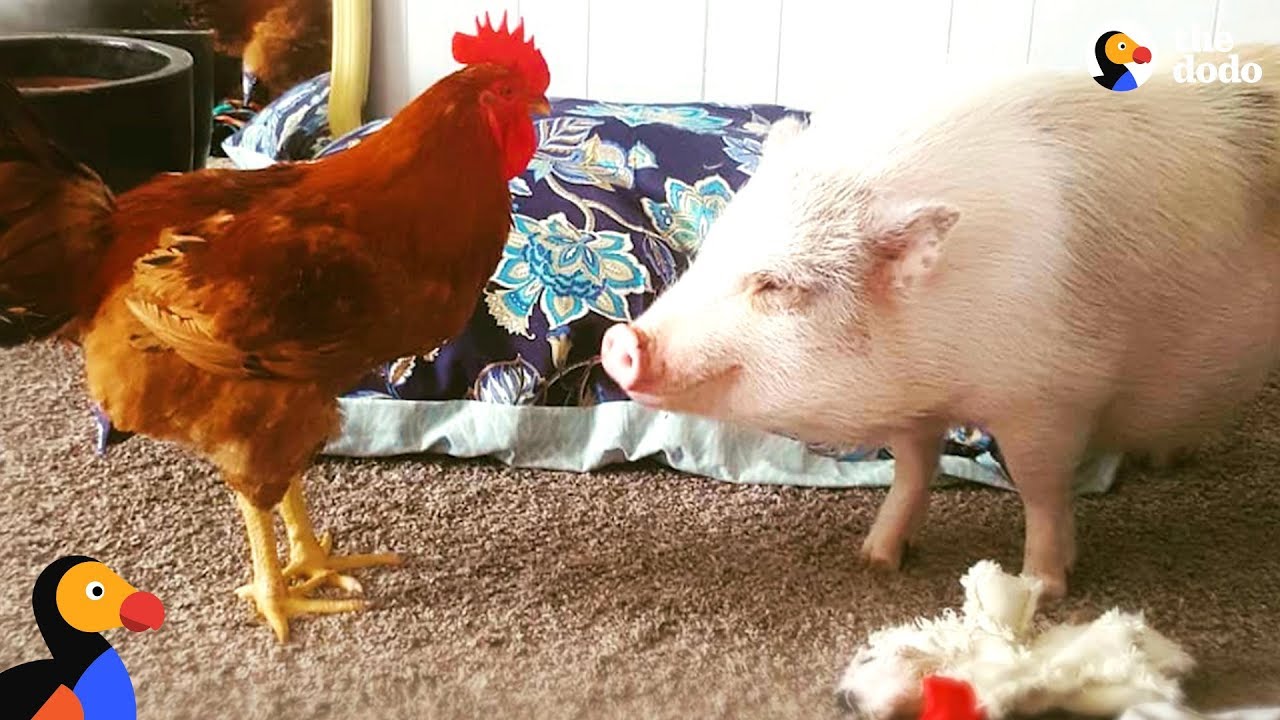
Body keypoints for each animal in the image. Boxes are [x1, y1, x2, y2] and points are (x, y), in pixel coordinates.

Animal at [600, 45, 1280, 601]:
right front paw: (876, 559)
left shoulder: (1053, 397)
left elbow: (1041, 489)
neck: (949, 366)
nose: (618, 340)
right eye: (713, 249)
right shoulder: (914, 408)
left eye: (777, 285)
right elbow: (912, 470)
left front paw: (1042, 588)